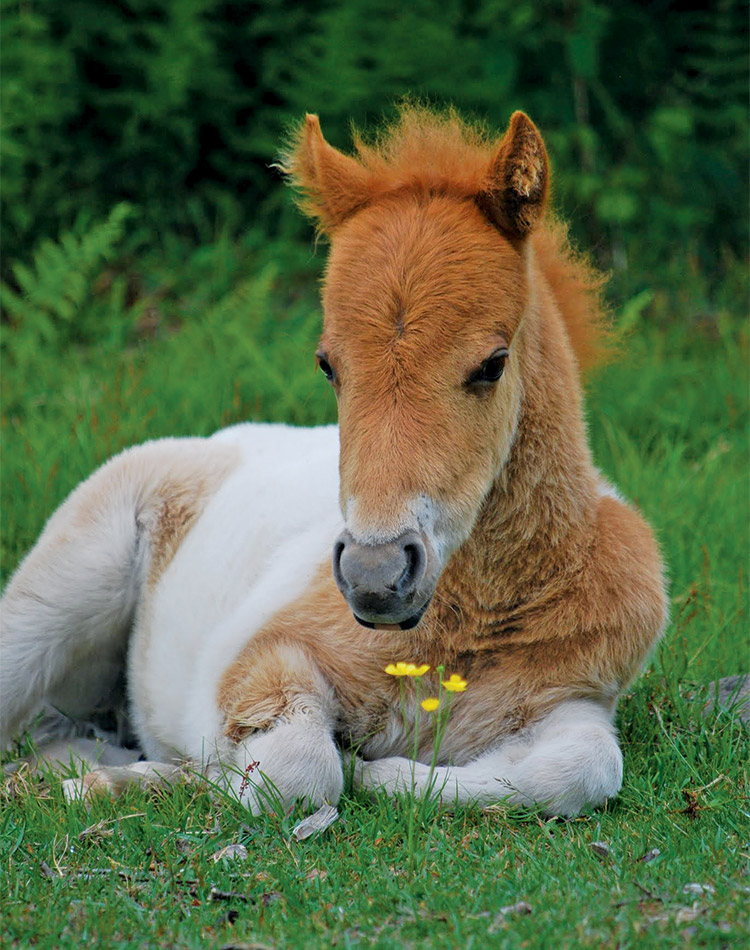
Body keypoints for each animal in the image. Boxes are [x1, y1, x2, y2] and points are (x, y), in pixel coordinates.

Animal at [0, 107, 667, 816]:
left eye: (493, 364)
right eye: (327, 364)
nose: (376, 574)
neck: (469, 629)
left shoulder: (575, 698)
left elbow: (582, 767)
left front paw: (382, 774)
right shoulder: (261, 658)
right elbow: (301, 770)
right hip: (50, 603)